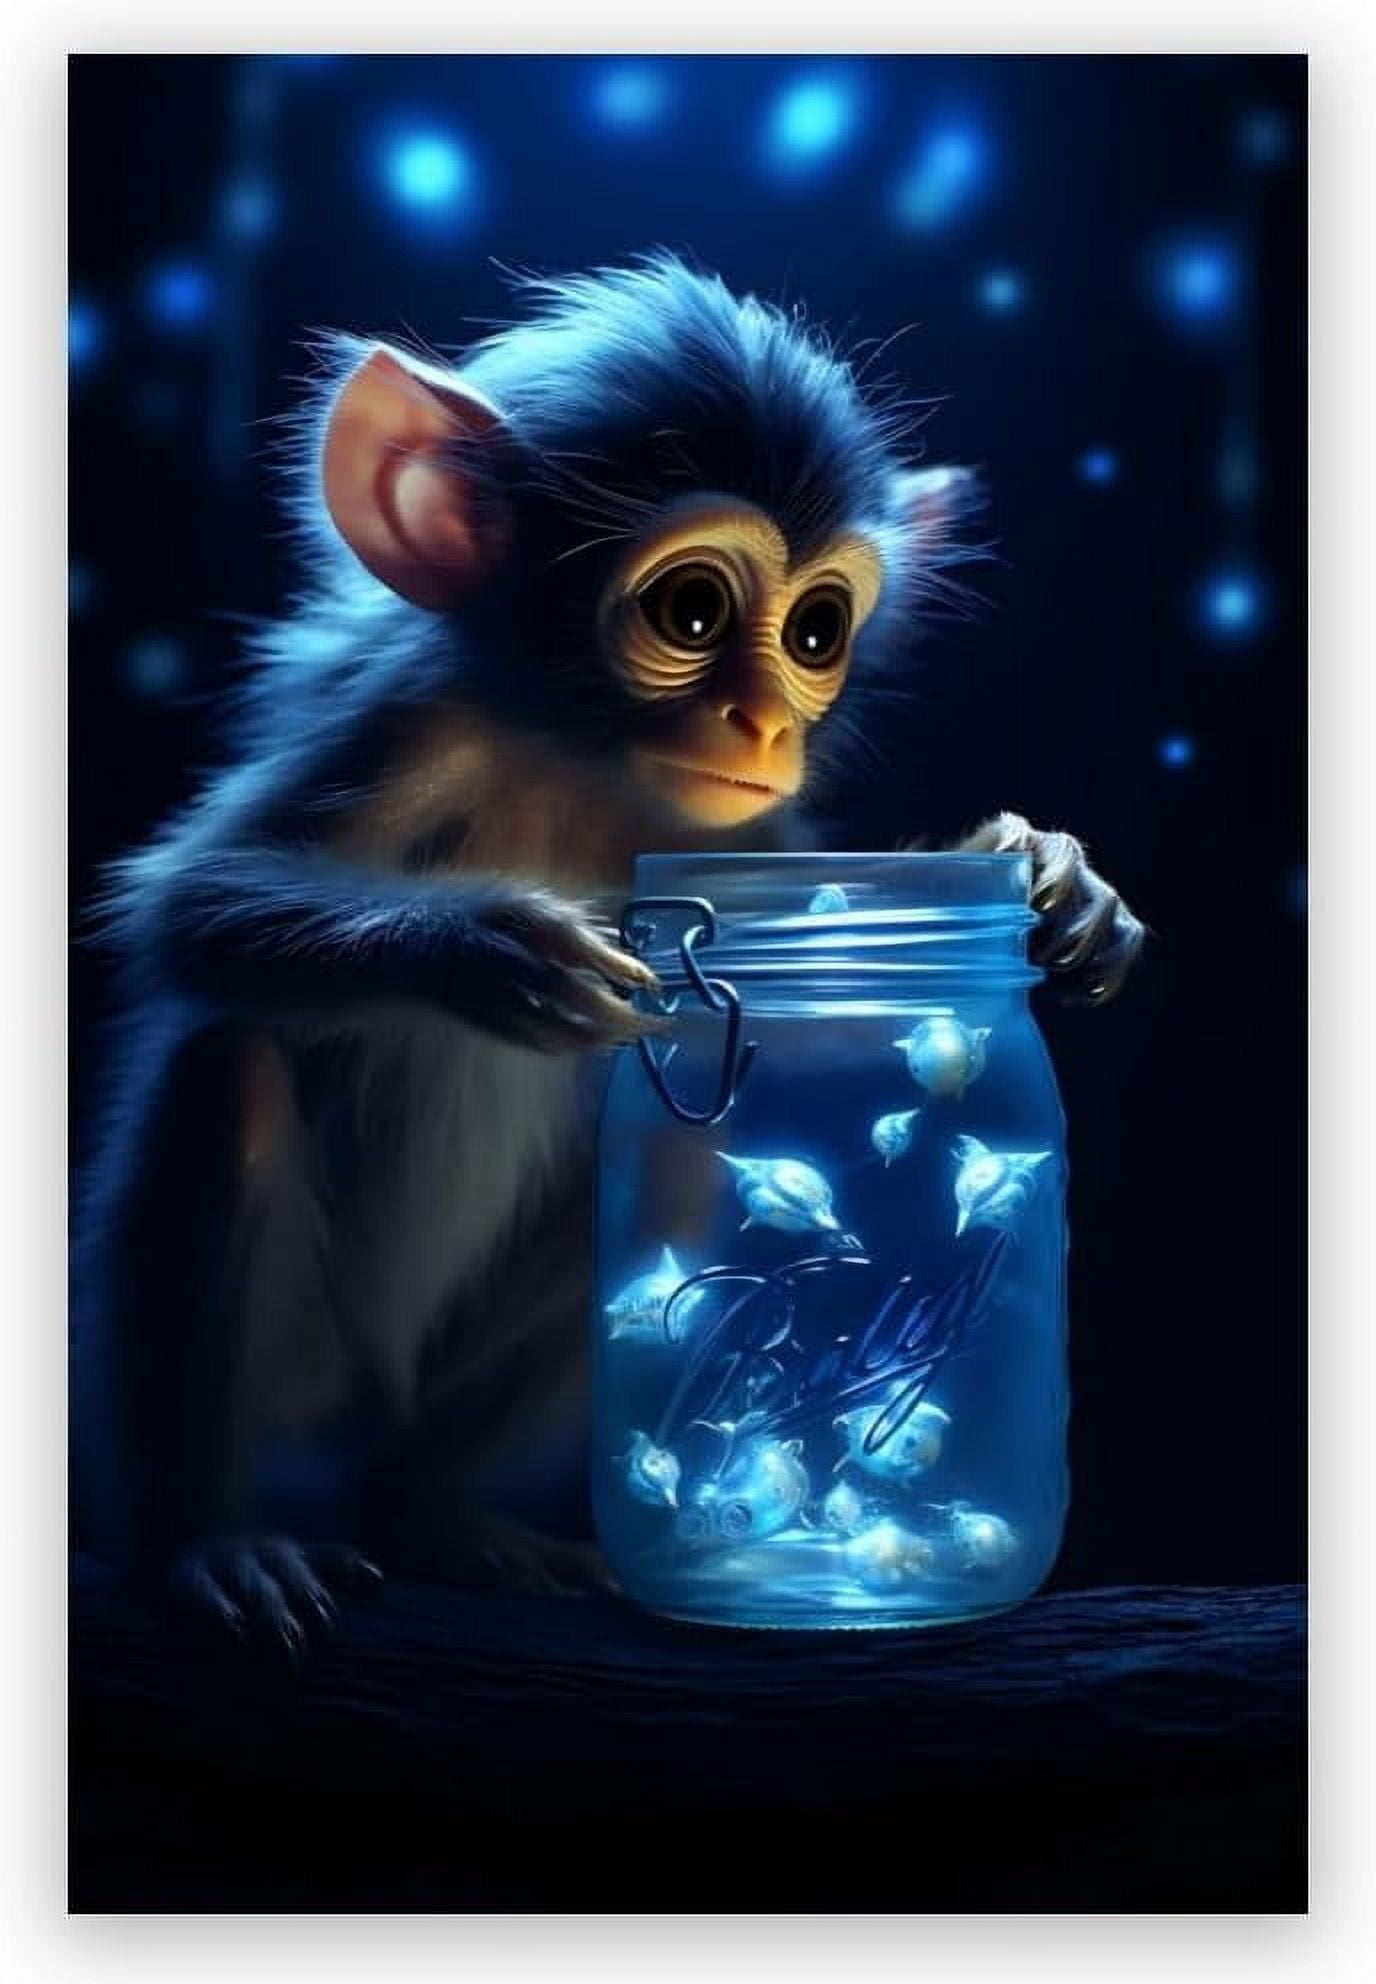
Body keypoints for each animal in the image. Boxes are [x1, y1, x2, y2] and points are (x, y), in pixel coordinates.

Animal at [71, 256, 1142, 1649]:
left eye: (815, 636)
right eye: (690, 610)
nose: (760, 722)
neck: (570, 764)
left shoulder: (739, 827)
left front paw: (1061, 883)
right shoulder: (407, 726)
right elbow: (188, 904)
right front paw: (488, 948)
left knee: (659, 1188)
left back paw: (435, 1511)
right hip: (300, 1367)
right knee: (230, 1078)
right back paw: (212, 1533)